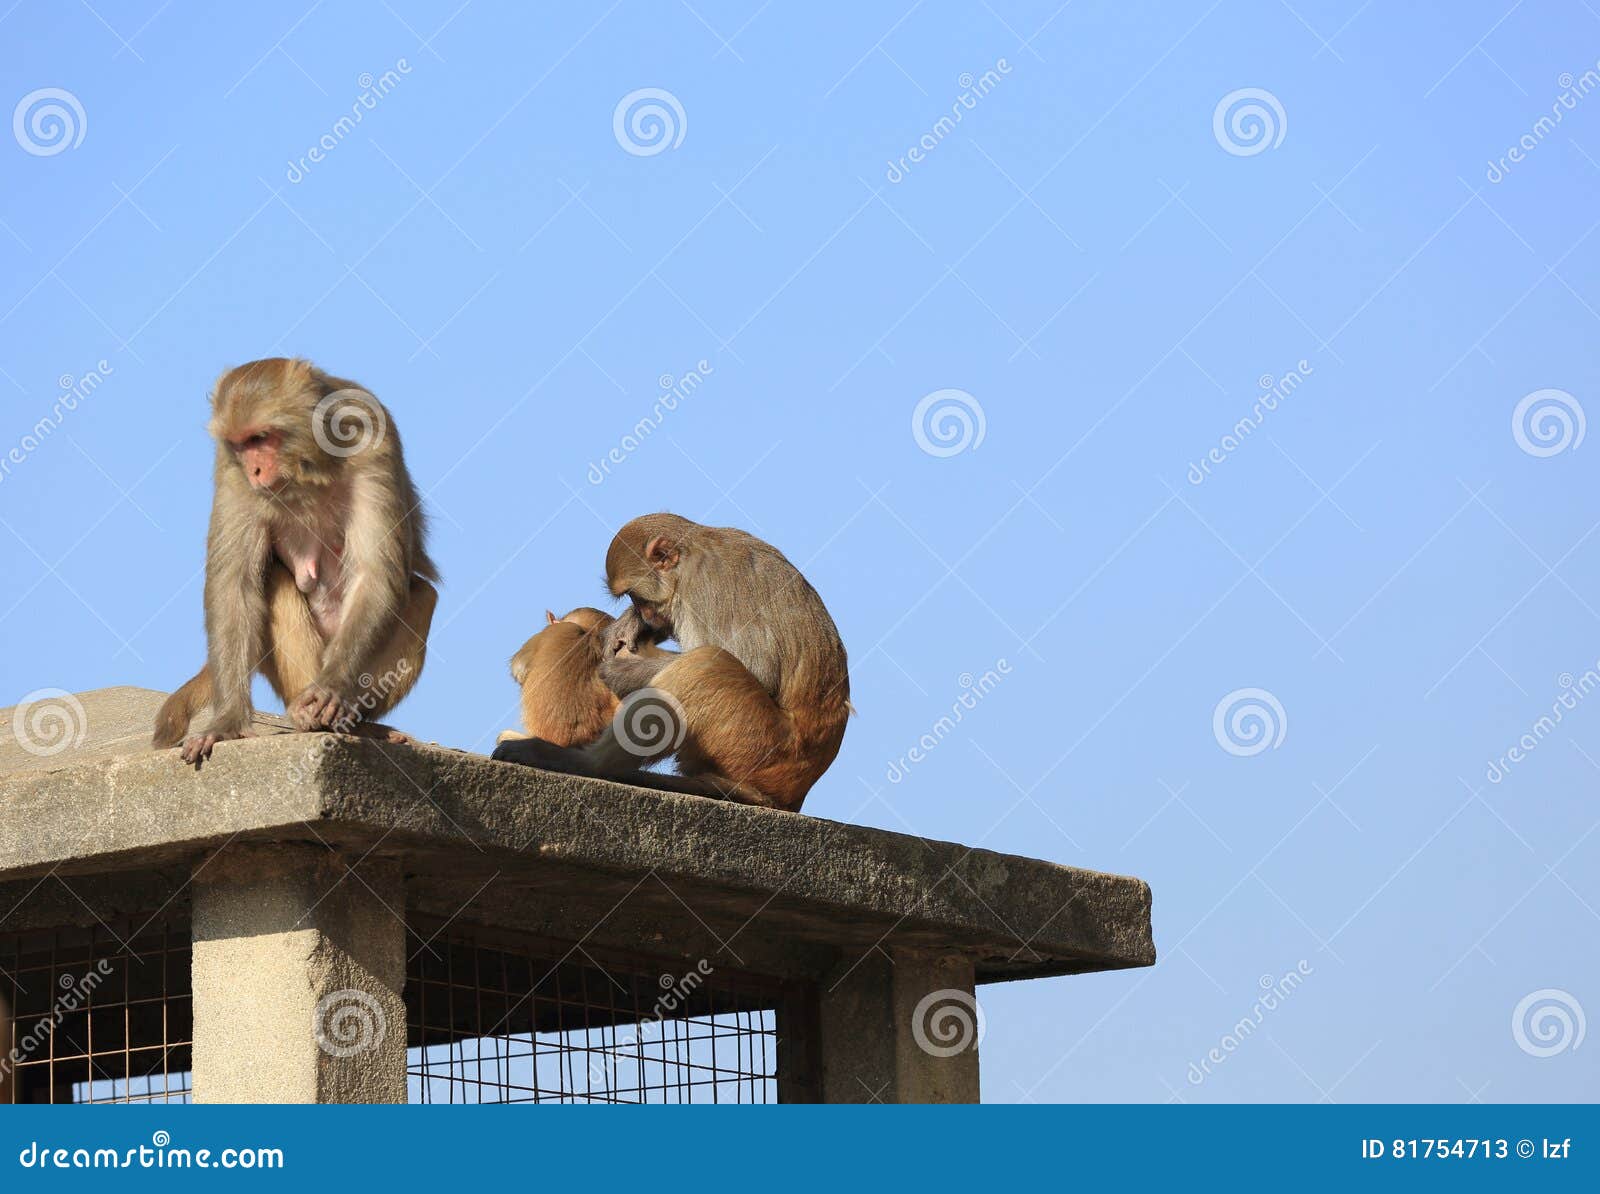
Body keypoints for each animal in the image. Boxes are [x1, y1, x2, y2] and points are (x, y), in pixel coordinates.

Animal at [152, 357, 439, 763]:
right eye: (240, 444)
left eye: (260, 438)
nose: (255, 471)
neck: (309, 467)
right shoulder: (230, 469)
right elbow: (235, 586)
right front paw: (227, 721)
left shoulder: (374, 443)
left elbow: (374, 575)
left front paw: (331, 687)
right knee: (270, 582)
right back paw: (310, 718)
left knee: (424, 595)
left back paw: (357, 723)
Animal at [492, 514, 850, 812]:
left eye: (637, 595)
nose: (644, 611)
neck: (690, 557)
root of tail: (792, 794)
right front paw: (630, 625)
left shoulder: (707, 587)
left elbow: (758, 669)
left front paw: (626, 669)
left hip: (761, 744)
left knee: (704, 665)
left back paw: (584, 764)